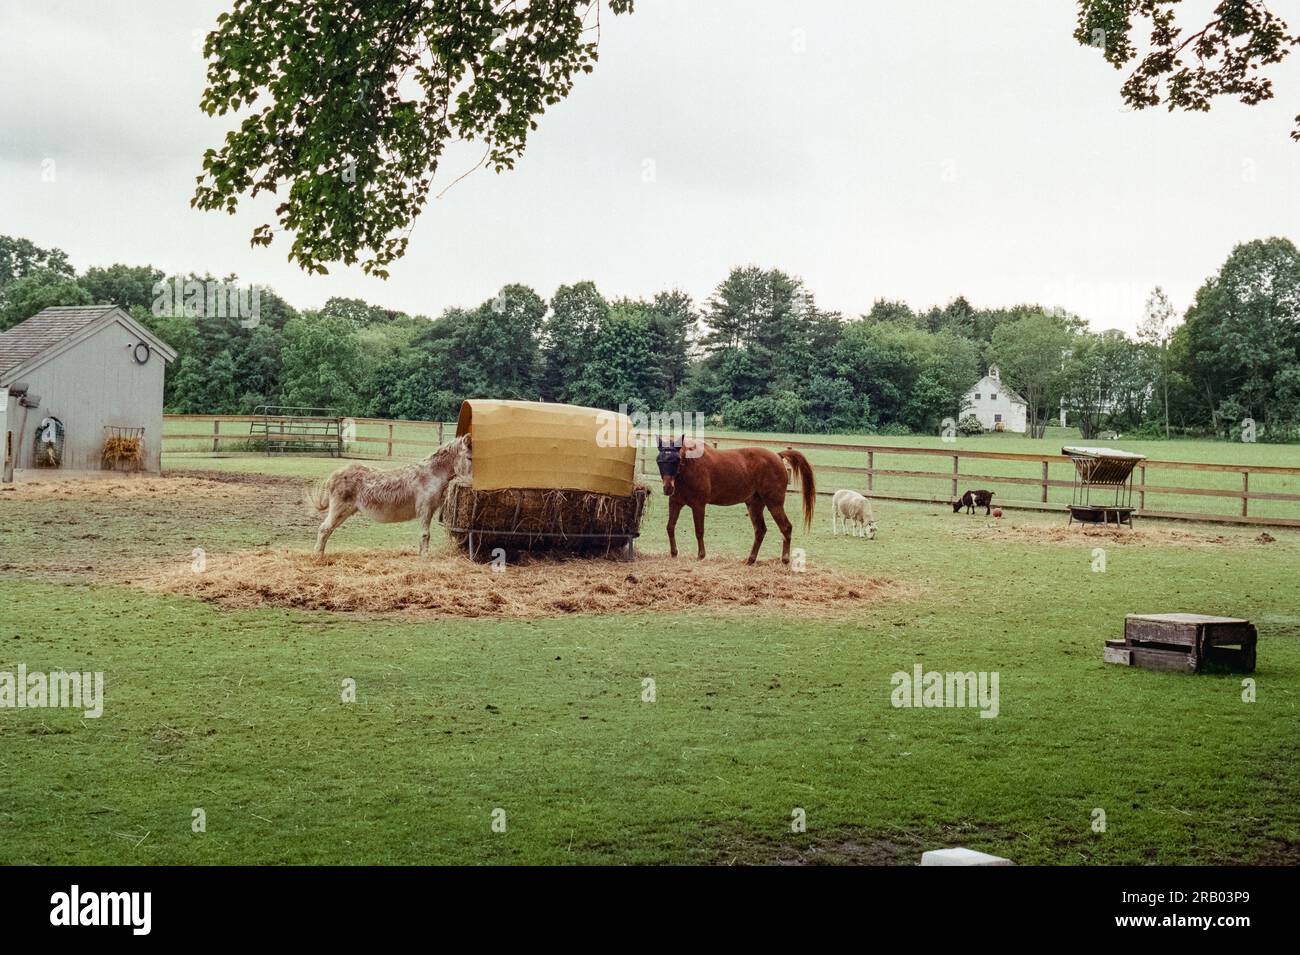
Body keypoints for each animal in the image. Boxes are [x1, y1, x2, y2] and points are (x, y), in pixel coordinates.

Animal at [310, 435, 472, 556]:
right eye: (470, 458)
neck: (431, 474)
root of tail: (334, 475)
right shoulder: (425, 509)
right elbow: (425, 535)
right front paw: (425, 558)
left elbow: (423, 536)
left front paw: (421, 555)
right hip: (340, 508)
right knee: (324, 529)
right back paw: (318, 557)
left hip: (346, 511)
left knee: (328, 529)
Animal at [655, 435, 815, 564]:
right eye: (659, 461)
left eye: (676, 460)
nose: (668, 488)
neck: (690, 467)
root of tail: (777, 456)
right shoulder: (675, 503)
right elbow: (670, 527)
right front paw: (674, 553)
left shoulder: (698, 505)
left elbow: (699, 531)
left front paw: (701, 555)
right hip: (755, 505)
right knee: (760, 530)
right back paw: (751, 559)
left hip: (774, 504)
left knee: (786, 527)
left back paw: (785, 559)